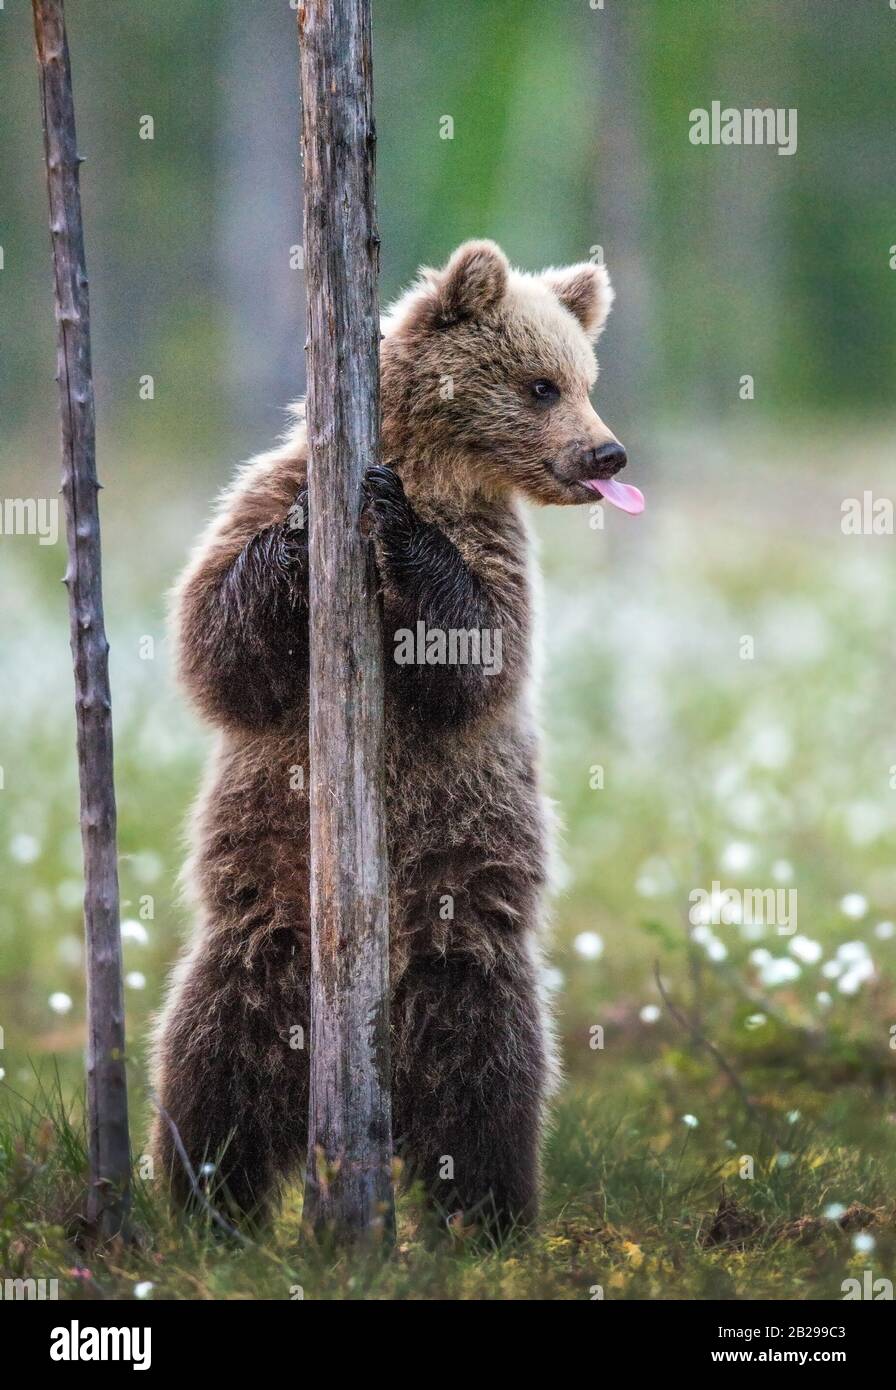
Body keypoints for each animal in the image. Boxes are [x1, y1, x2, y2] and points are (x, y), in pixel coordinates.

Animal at [149, 239, 639, 1236]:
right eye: (542, 385)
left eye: (585, 378)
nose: (606, 451)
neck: (437, 468)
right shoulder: (259, 495)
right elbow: (214, 636)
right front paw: (309, 530)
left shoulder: (496, 552)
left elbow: (478, 657)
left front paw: (400, 523)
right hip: (264, 923)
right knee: (212, 1060)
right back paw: (207, 1204)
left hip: (467, 927)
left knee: (490, 1075)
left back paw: (485, 1214)